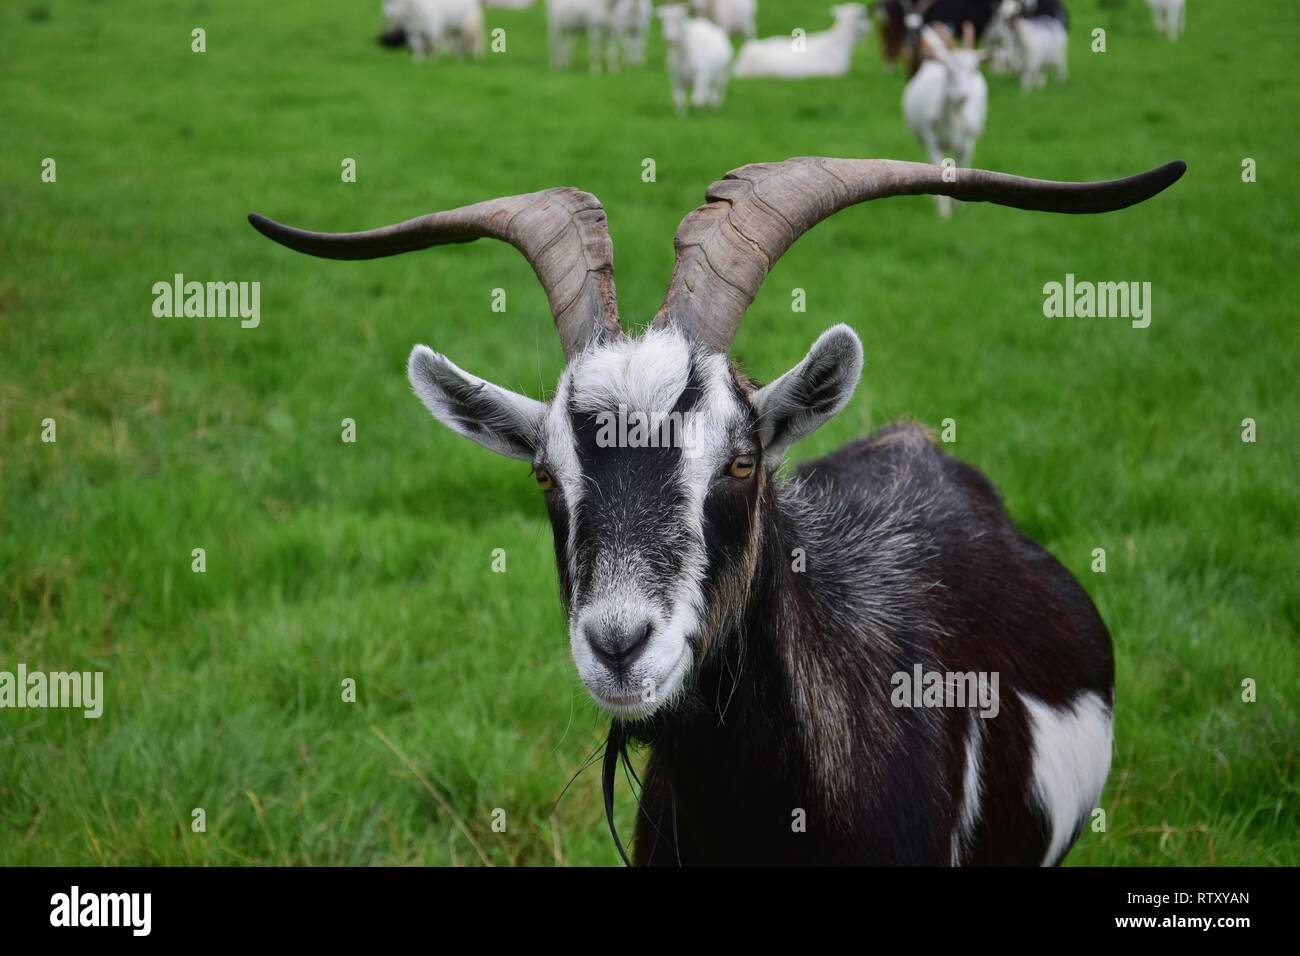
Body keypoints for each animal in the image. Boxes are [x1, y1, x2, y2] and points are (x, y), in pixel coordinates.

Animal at [903, 27, 988, 217]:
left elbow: (963, 165)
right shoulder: (931, 137)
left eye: (974, 68)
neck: (954, 117)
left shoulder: (968, 141)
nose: (963, 97)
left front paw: (959, 207)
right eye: (949, 72)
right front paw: (944, 213)